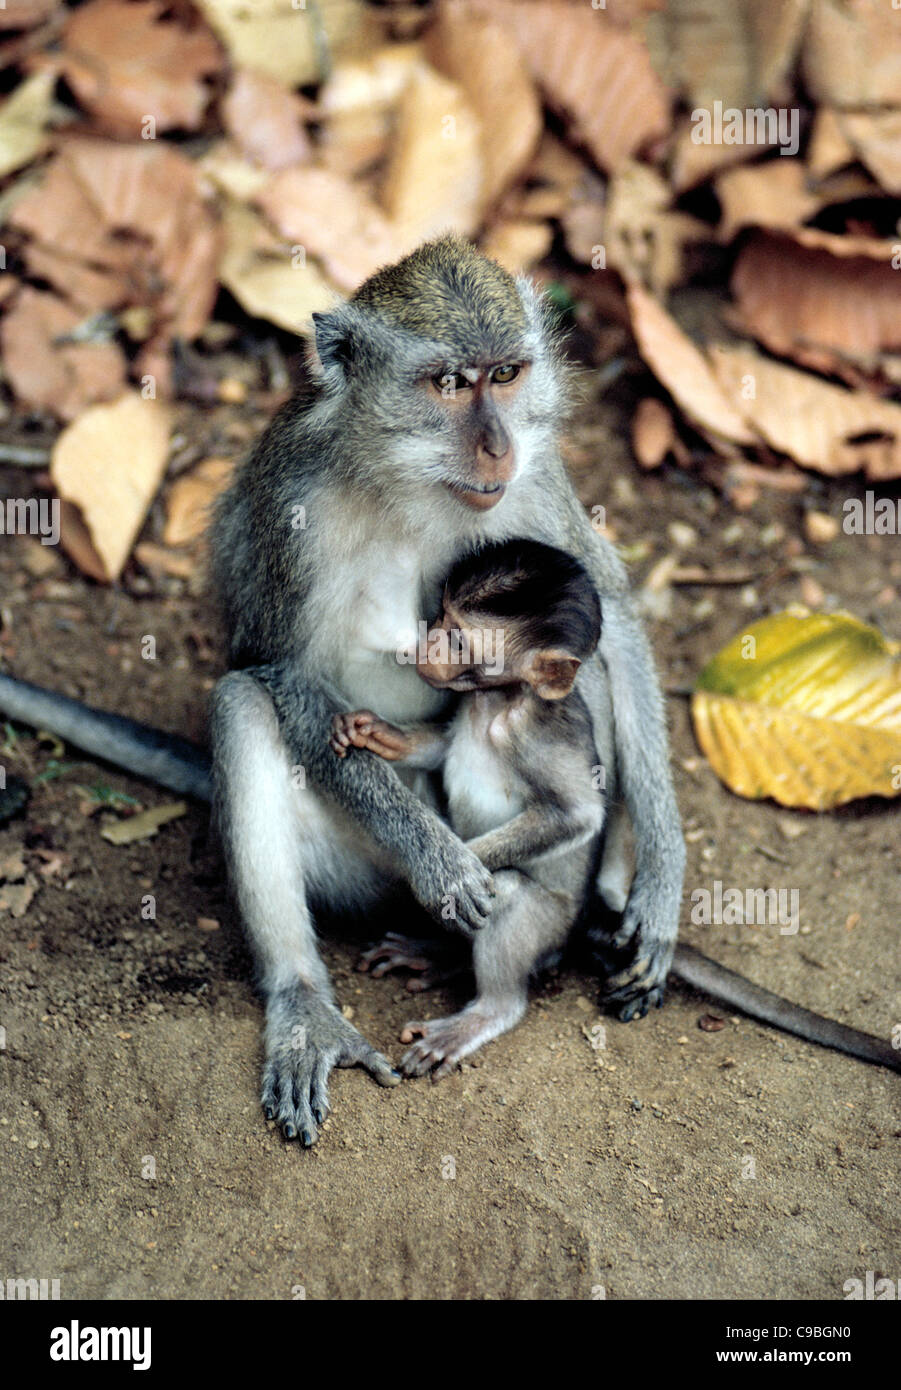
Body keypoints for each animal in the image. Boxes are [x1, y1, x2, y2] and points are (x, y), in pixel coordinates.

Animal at [328, 537, 607, 1076]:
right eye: (439, 616)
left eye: (458, 640)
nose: (426, 645)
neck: (498, 702)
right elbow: (442, 747)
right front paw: (380, 735)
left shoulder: (534, 735)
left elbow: (576, 815)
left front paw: (445, 877)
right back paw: (439, 953)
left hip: (551, 926)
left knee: (510, 893)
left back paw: (482, 1014)